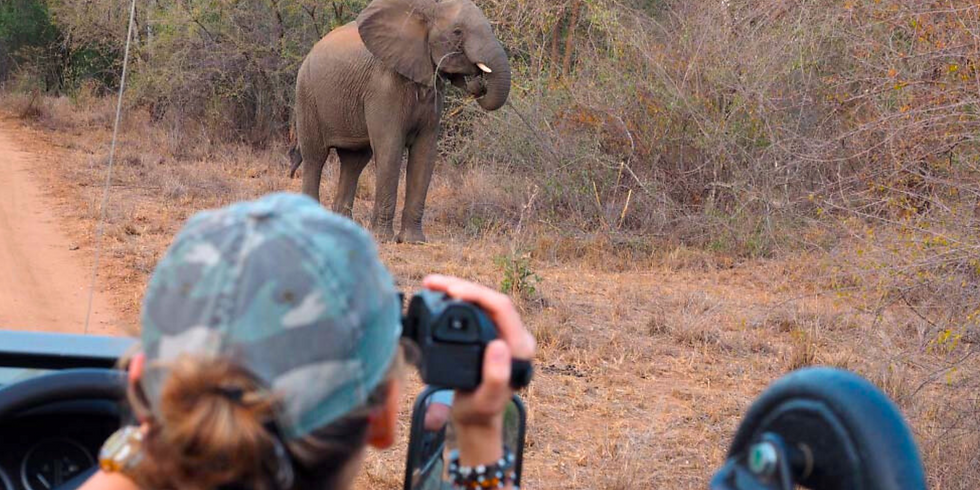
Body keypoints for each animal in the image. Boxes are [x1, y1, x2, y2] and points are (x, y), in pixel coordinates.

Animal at [290, 0, 511, 243]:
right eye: (457, 32)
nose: (478, 84)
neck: (425, 10)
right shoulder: (383, 86)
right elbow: (390, 150)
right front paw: (383, 238)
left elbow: (425, 154)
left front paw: (414, 240)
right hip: (306, 94)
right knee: (315, 157)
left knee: (353, 162)